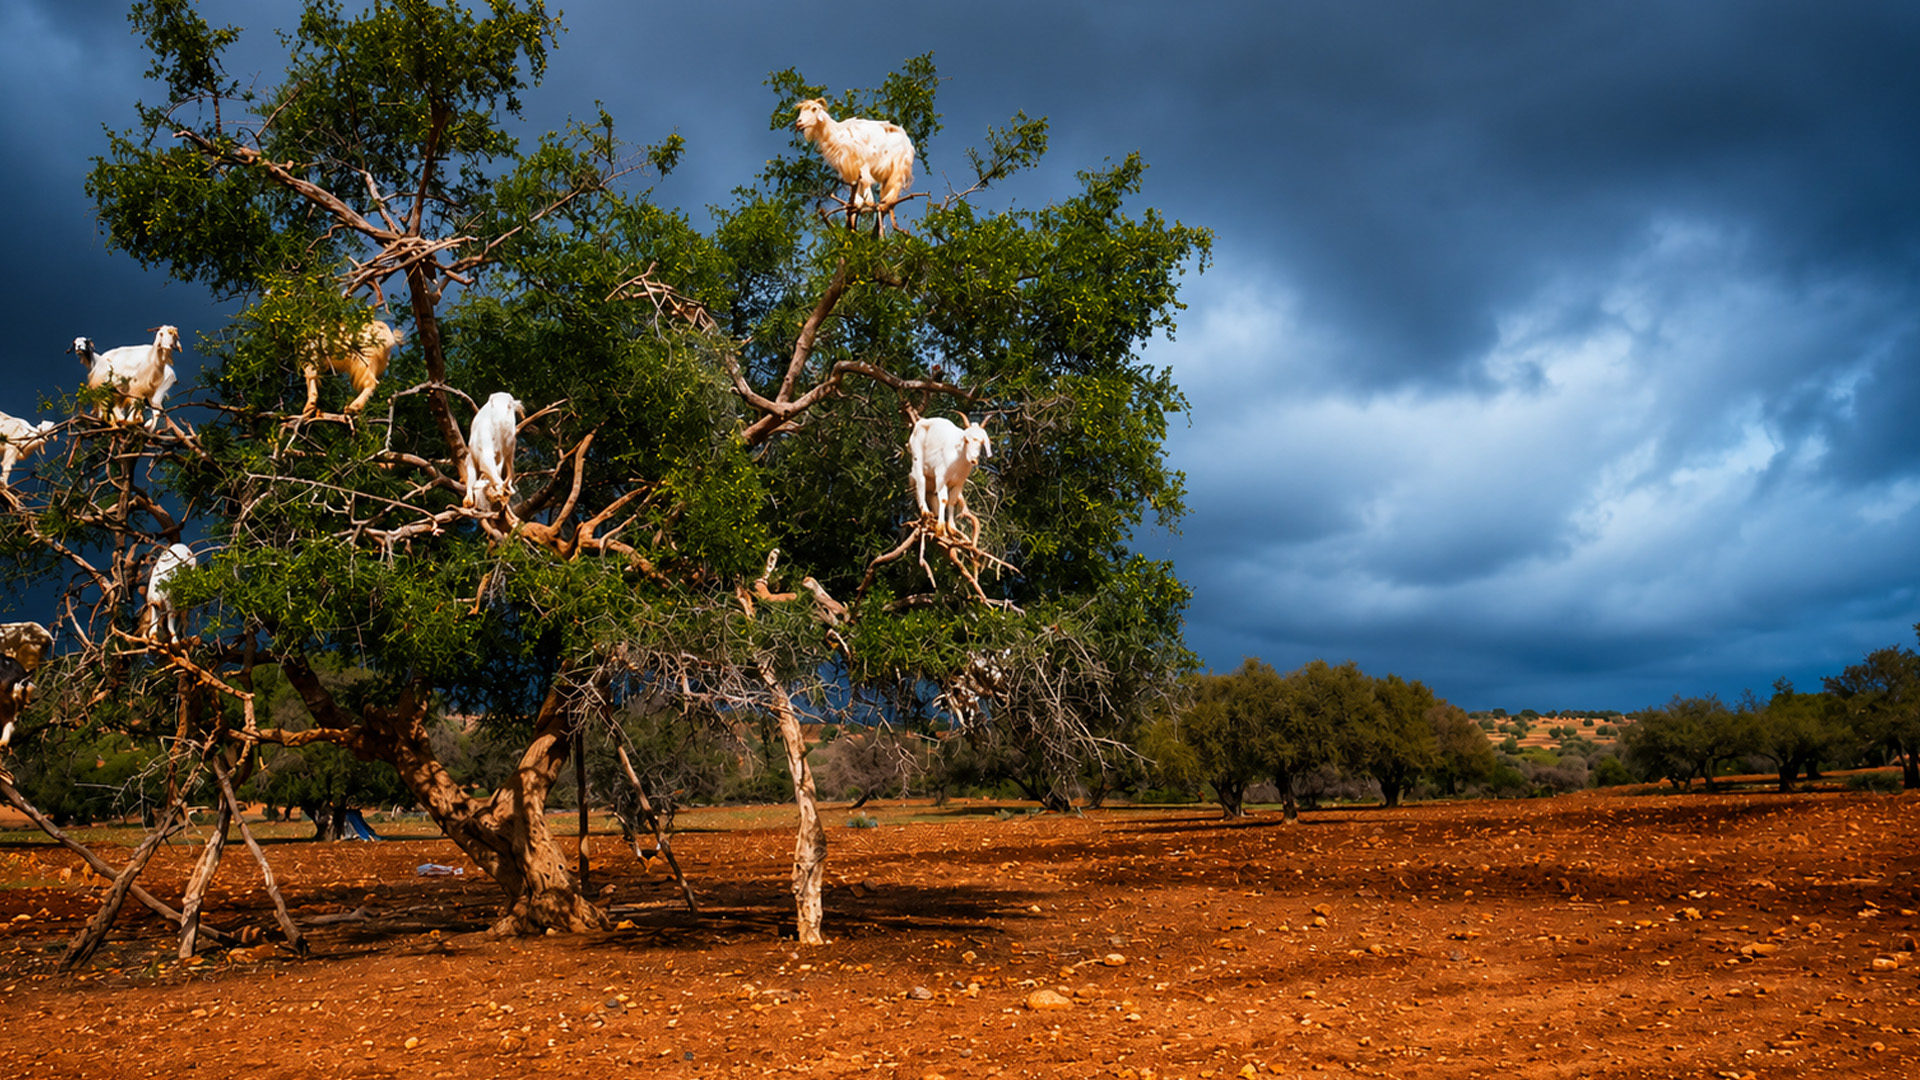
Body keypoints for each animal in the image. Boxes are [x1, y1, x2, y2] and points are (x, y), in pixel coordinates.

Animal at [793, 98, 915, 235]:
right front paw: (854, 209)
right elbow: (856, 193)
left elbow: (866, 185)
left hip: (898, 170)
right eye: (801, 110)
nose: (798, 123)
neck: (837, 133)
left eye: (814, 109)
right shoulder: (850, 170)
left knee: (892, 192)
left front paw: (867, 203)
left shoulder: (863, 163)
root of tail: (908, 142)